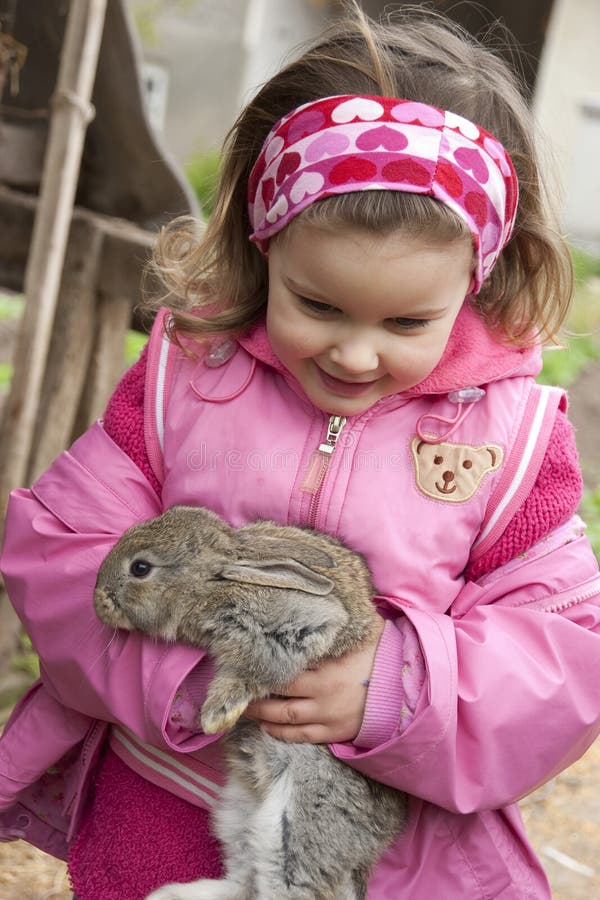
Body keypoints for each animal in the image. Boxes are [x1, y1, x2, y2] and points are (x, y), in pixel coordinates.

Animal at [94, 505, 408, 900]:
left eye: (140, 568)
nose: (98, 600)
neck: (217, 578)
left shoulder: (296, 626)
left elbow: (251, 671)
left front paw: (216, 713)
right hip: (239, 815)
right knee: (243, 881)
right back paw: (166, 895)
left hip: (294, 829)